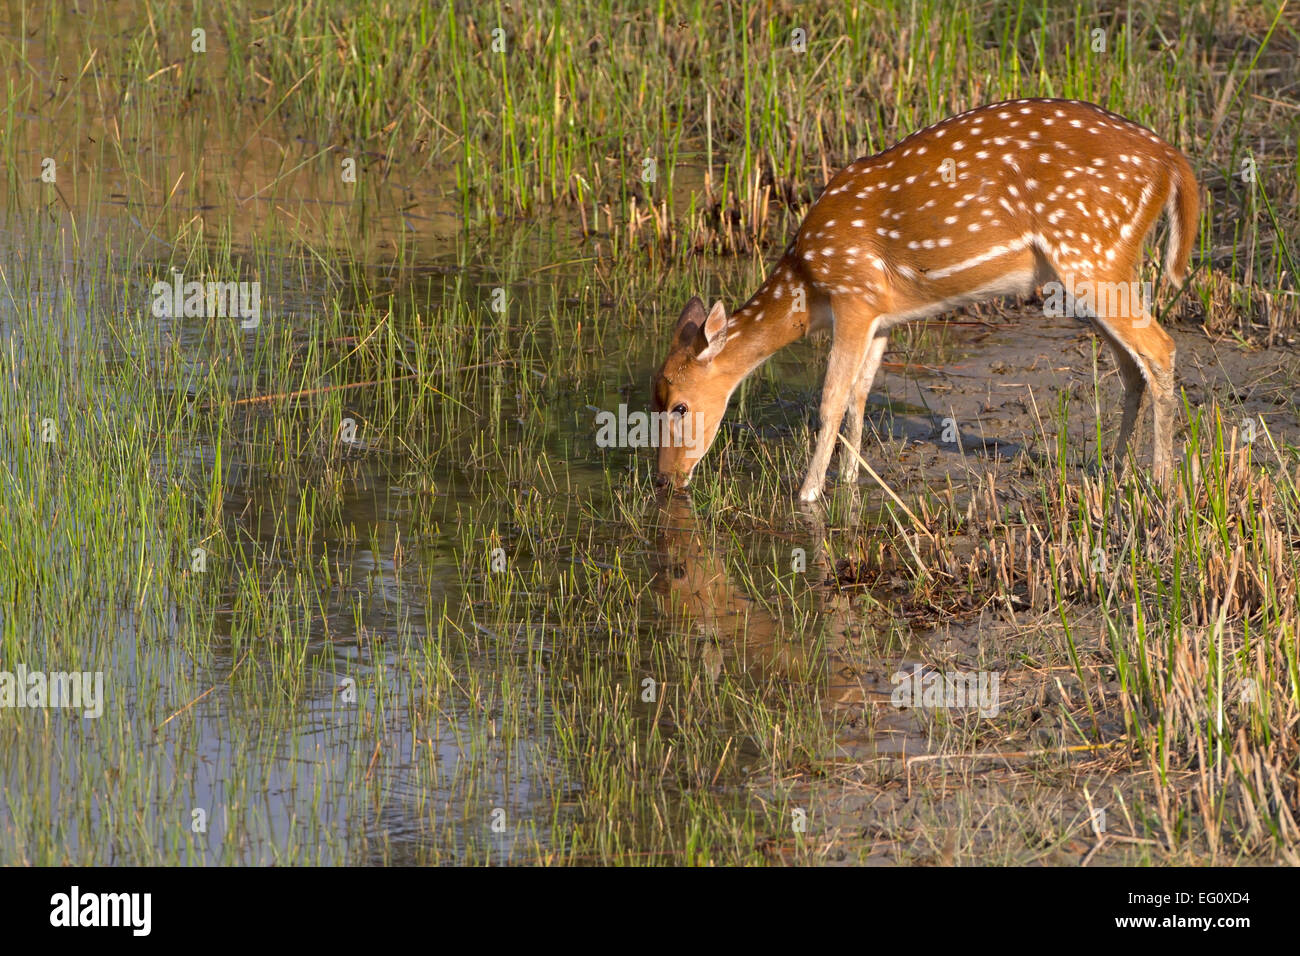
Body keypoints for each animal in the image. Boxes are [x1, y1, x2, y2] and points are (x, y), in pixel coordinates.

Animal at [652, 98, 1199, 502]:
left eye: (679, 406)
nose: (665, 477)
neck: (809, 287)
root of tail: (1172, 162)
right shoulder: (881, 315)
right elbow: (859, 396)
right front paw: (848, 483)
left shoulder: (854, 294)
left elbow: (830, 399)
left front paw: (807, 496)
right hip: (1098, 269)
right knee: (1132, 366)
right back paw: (1115, 469)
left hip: (1090, 251)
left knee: (1161, 348)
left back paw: (1161, 482)